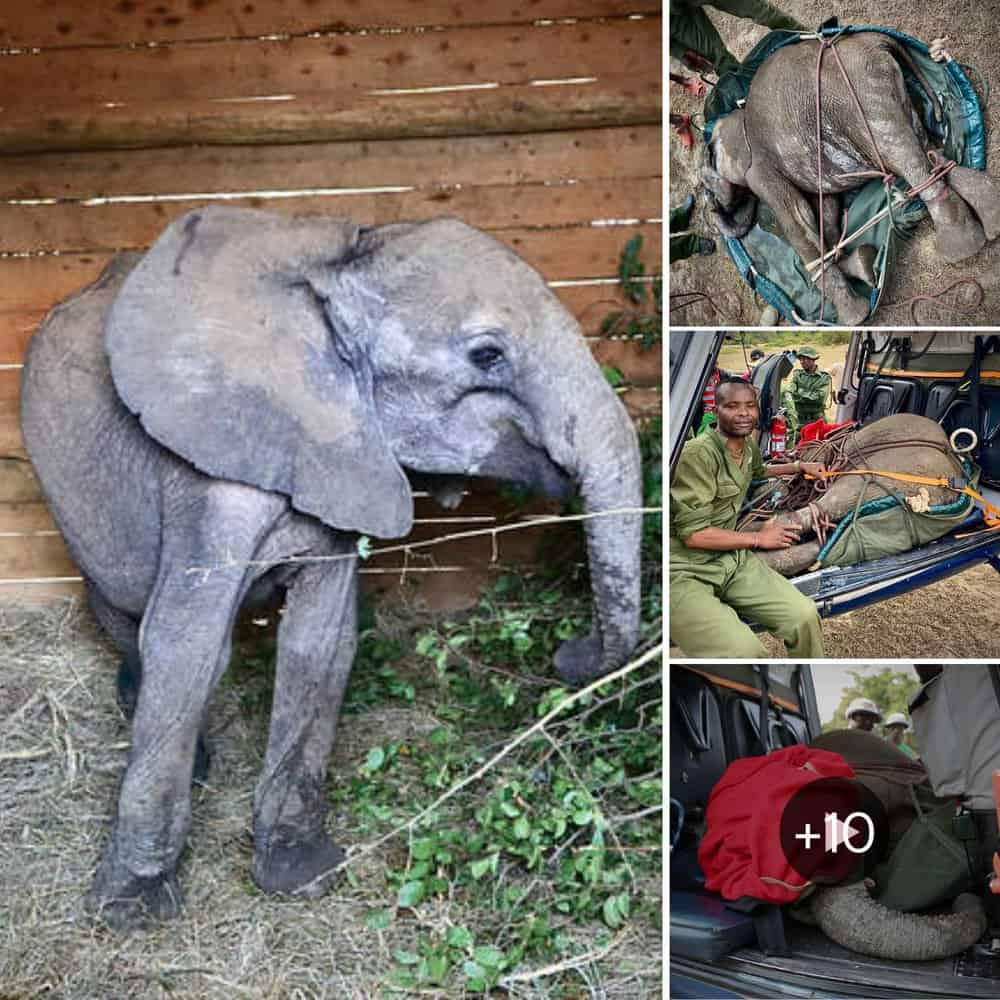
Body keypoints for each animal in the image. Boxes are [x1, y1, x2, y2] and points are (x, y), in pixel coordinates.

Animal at [19, 207, 642, 928]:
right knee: (123, 606)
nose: (570, 654)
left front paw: (298, 875)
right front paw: (131, 912)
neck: (331, 271)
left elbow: (320, 643)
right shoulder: (208, 467)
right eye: (487, 355)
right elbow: (190, 648)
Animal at [701, 33, 1000, 326]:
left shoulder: (759, 168)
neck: (738, 118)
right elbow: (825, 214)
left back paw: (961, 248)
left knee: (900, 152)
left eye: (706, 183)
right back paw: (990, 216)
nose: (712, 204)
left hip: (860, 96)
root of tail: (874, 40)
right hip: (888, 91)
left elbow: (798, 220)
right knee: (923, 144)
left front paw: (854, 318)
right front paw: (863, 264)